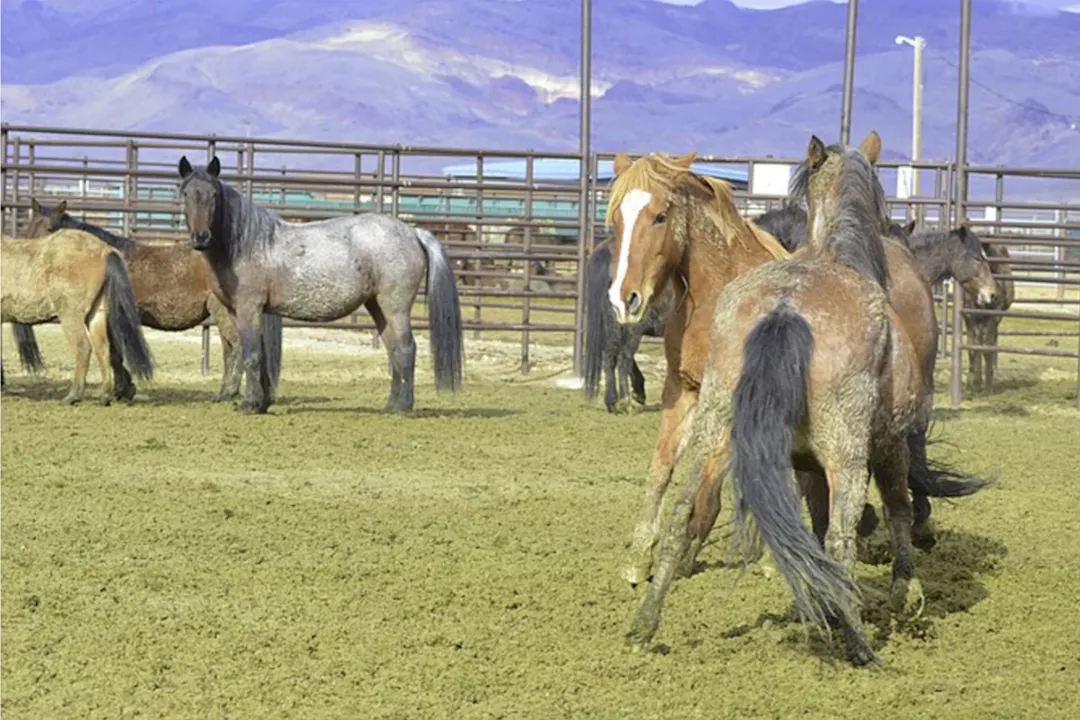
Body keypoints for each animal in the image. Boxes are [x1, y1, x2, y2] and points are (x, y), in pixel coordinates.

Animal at [2, 229, 154, 404]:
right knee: (102, 349)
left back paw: (74, 395)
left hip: (71, 316)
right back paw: (105, 395)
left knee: (83, 347)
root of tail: (104, 250)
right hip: (96, 316)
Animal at [26, 199, 280, 403]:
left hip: (224, 313)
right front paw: (124, 390)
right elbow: (116, 354)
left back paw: (228, 393)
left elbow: (116, 355)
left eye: (51, 229)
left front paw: (122, 390)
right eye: (29, 227)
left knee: (237, 347)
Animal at [177, 156, 464, 413]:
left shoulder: (249, 309)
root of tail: (413, 232)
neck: (247, 244)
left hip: (395, 308)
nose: (200, 237)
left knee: (406, 349)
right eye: (186, 193)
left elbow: (252, 354)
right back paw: (391, 405)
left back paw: (404, 406)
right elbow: (262, 355)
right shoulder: (243, 312)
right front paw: (263, 403)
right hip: (378, 308)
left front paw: (250, 405)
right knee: (393, 350)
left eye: (214, 194)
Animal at [621, 133, 929, 666]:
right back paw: (857, 644)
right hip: (848, 453)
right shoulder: (888, 442)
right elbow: (892, 509)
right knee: (842, 537)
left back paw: (645, 622)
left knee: (681, 509)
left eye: (659, 216)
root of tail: (785, 309)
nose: (627, 299)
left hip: (713, 423)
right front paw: (902, 593)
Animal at [964, 238, 1015, 391]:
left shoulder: (993, 316)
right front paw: (971, 383)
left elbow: (987, 348)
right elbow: (972, 348)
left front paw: (987, 386)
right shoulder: (969, 316)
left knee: (990, 344)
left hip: (995, 318)